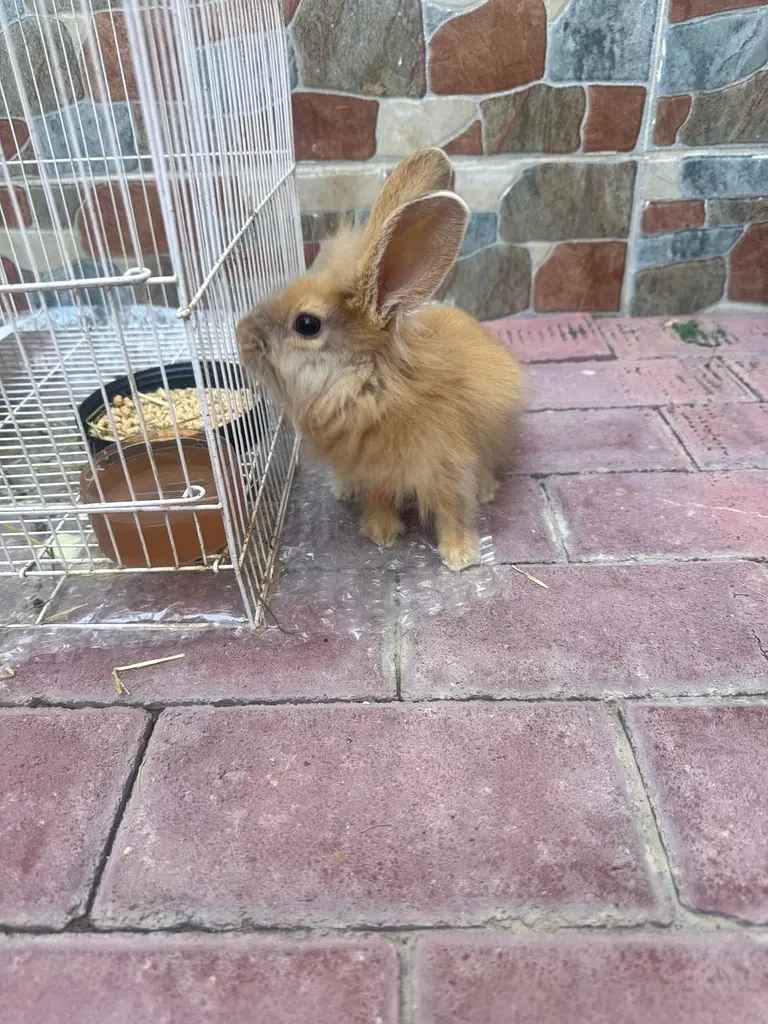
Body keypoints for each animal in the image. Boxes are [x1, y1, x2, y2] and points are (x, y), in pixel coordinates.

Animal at [236, 148, 524, 571]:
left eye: (306, 324)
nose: (241, 336)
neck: (371, 385)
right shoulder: (377, 472)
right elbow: (380, 497)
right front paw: (381, 534)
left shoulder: (449, 466)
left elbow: (454, 510)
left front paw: (459, 556)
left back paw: (487, 491)